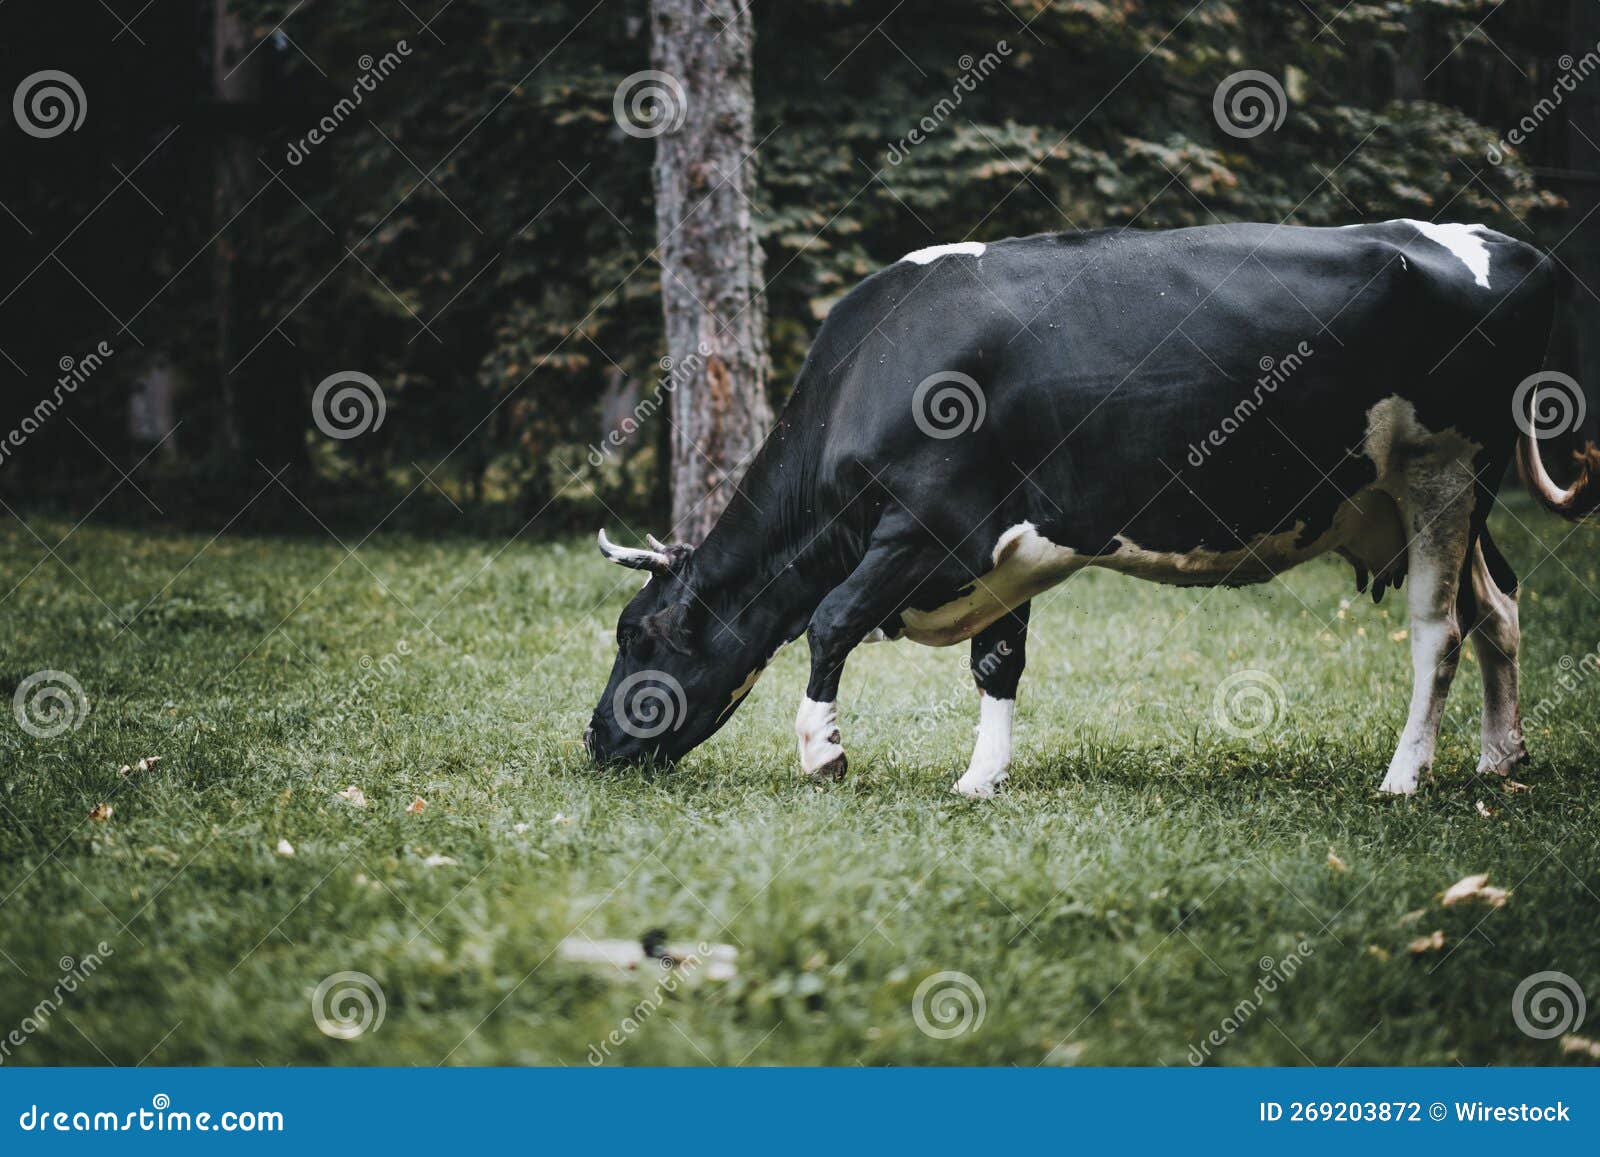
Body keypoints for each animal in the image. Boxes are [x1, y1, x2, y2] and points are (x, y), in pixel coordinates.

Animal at [586, 220, 1597, 798]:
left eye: (635, 635)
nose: (594, 741)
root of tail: (1518, 247)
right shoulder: (1009, 546)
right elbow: (997, 662)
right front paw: (980, 779)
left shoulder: (928, 525)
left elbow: (830, 622)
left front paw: (823, 753)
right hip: (1433, 496)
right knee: (1497, 605)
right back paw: (1501, 758)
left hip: (1442, 470)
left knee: (1439, 630)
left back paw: (1403, 777)